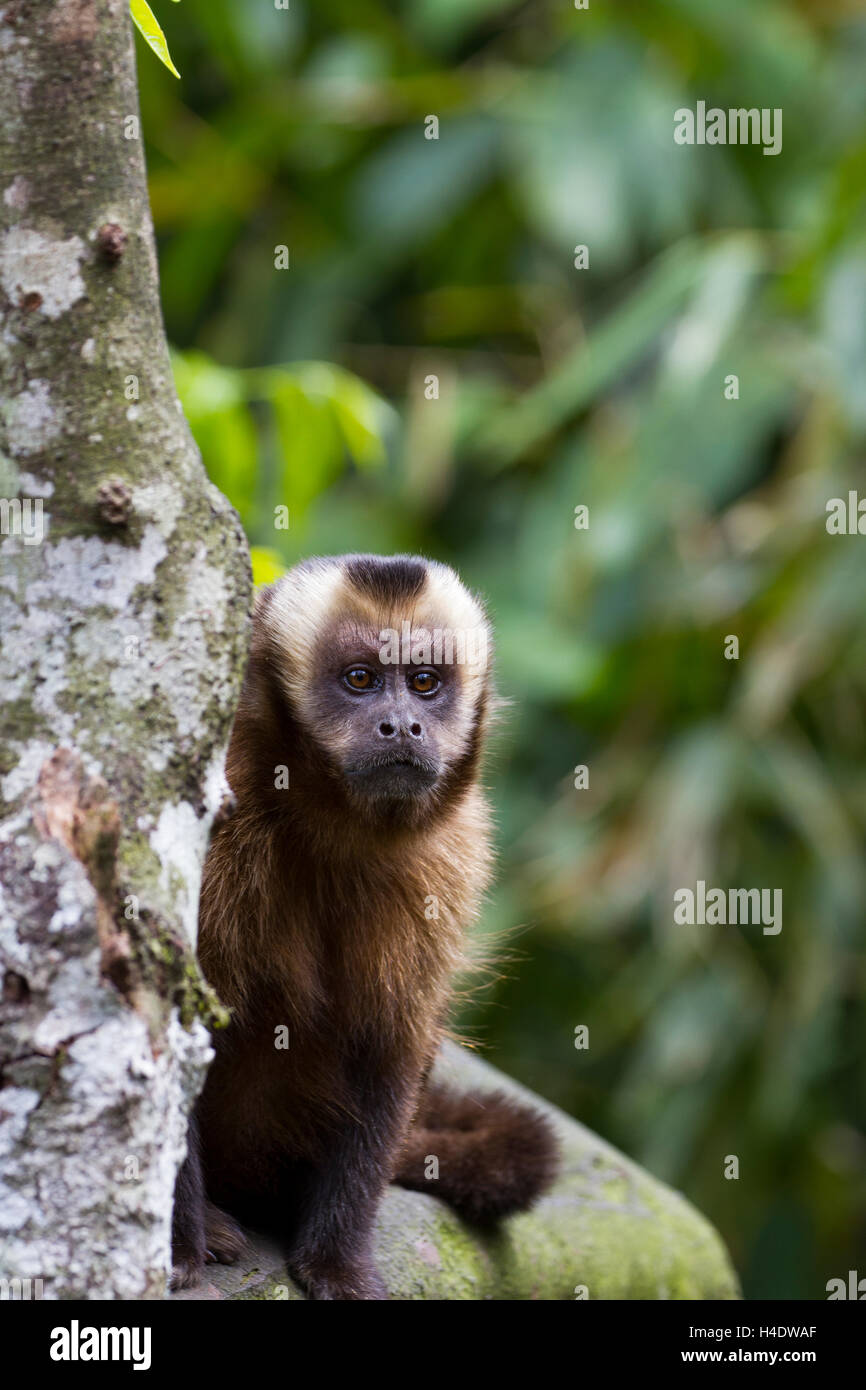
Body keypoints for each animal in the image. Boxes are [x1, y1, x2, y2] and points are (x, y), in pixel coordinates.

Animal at [171, 554, 558, 1299]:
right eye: (360, 679)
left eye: (425, 682)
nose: (402, 726)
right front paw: (174, 1248)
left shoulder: (452, 861)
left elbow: (390, 1043)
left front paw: (337, 1261)